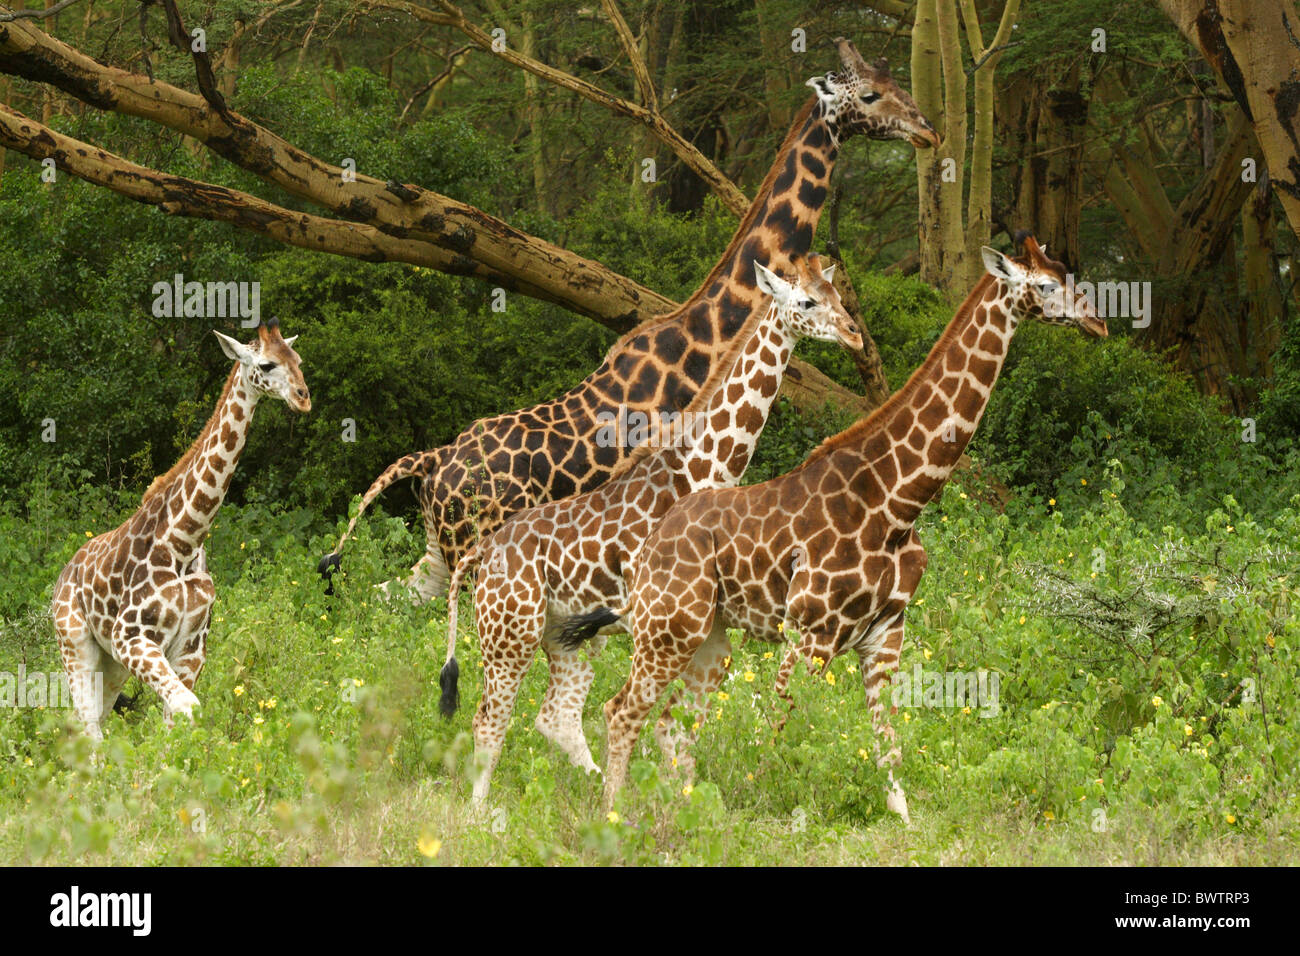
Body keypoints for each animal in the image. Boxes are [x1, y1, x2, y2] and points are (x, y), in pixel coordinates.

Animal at [51, 320, 311, 739]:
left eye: (298, 360)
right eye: (267, 364)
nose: (303, 398)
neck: (184, 540)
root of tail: (63, 575)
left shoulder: (190, 650)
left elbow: (178, 723)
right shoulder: (131, 637)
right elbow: (188, 707)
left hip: (112, 663)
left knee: (93, 720)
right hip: (75, 643)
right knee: (87, 725)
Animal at [318, 38, 939, 602]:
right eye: (871, 93)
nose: (927, 130)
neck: (703, 341)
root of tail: (432, 464)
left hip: (437, 556)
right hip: (473, 552)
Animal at [440, 256, 862, 803]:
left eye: (839, 297)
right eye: (806, 302)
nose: (854, 335)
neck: (700, 467)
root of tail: (484, 551)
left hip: (561, 637)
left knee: (555, 716)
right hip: (509, 632)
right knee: (490, 720)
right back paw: (483, 814)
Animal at [558, 236, 1107, 819]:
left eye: (1069, 276)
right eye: (1044, 285)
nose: (1098, 322)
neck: (897, 501)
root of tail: (650, 545)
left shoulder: (886, 635)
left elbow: (887, 745)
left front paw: (902, 819)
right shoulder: (809, 633)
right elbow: (777, 735)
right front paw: (770, 813)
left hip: (709, 636)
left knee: (670, 723)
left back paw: (683, 811)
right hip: (669, 626)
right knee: (621, 710)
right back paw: (614, 813)